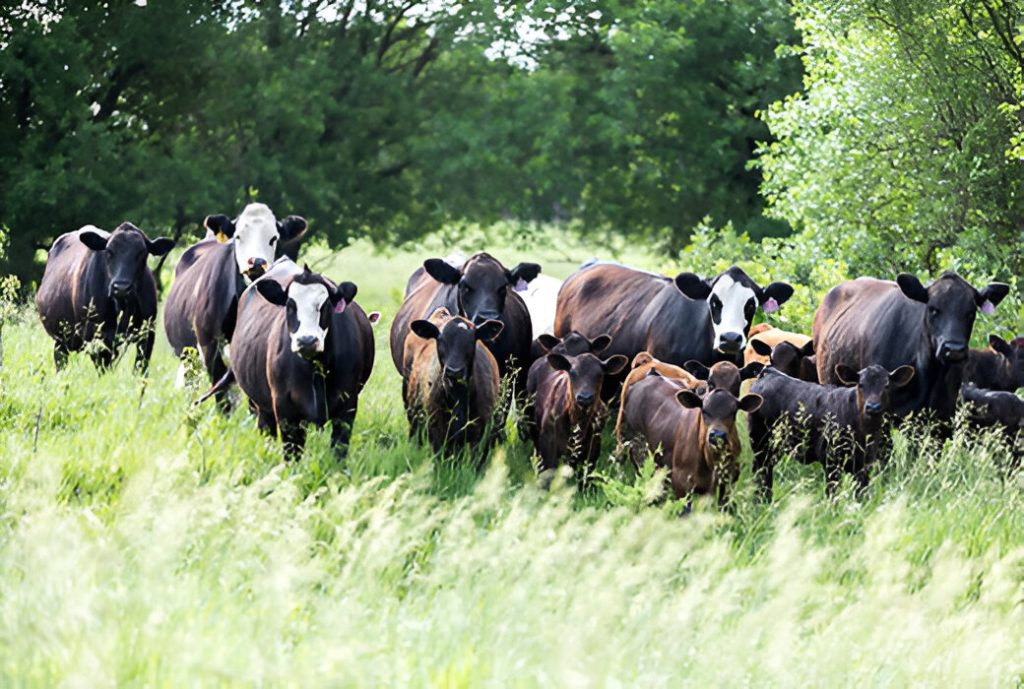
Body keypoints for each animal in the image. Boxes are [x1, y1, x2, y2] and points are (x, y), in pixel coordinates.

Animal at [35, 223, 174, 371]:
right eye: (109, 251)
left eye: (142, 252)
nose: (121, 287)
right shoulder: (96, 337)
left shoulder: (147, 334)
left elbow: (140, 368)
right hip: (60, 341)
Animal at [225, 259, 374, 458]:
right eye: (290, 305)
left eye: (325, 305)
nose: (307, 340)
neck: (315, 368)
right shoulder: (284, 407)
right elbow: (292, 451)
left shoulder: (347, 404)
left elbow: (339, 449)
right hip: (262, 406)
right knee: (267, 430)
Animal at [618, 369, 762, 504]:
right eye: (704, 410)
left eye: (733, 412)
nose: (717, 435)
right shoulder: (681, 484)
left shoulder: (728, 483)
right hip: (637, 452)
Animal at [748, 364, 916, 500]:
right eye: (860, 385)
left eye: (886, 385)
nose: (872, 407)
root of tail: (768, 373)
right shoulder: (830, 460)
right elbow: (832, 494)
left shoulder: (864, 465)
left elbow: (861, 495)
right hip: (761, 445)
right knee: (760, 474)